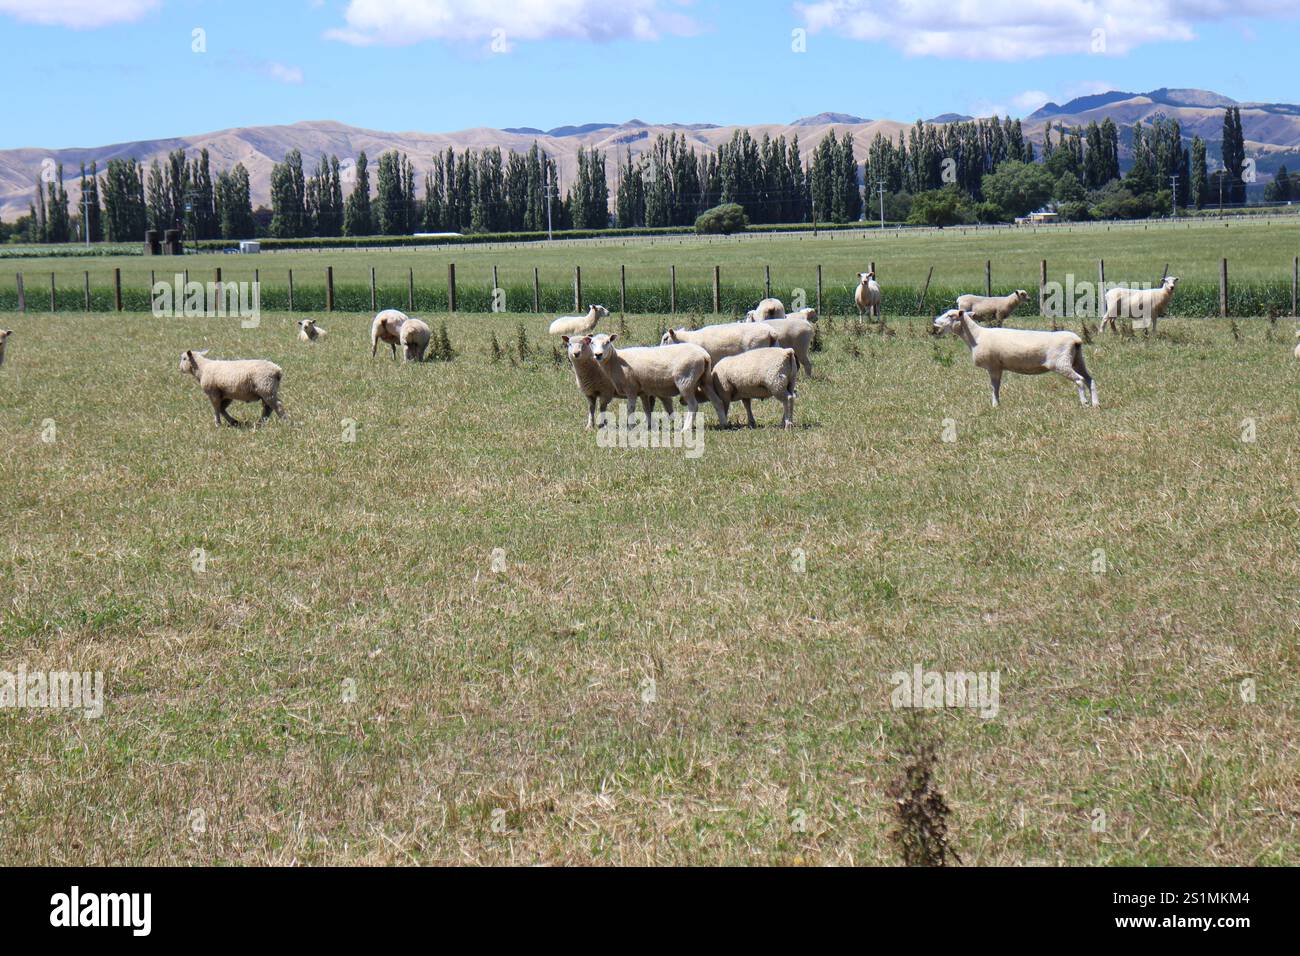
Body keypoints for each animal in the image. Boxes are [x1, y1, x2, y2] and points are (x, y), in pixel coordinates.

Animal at [588, 333, 727, 431]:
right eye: (592, 343)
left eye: (607, 342)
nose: (598, 355)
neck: (616, 361)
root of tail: (704, 355)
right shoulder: (642, 391)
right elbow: (647, 409)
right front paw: (648, 426)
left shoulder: (631, 388)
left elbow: (630, 408)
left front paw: (630, 427)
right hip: (705, 380)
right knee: (717, 401)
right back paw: (723, 424)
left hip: (685, 381)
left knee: (693, 405)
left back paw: (686, 428)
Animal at [932, 309, 1098, 408]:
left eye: (950, 315)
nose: (934, 322)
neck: (976, 336)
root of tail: (1076, 340)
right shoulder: (998, 367)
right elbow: (997, 386)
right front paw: (997, 404)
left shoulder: (993, 366)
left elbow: (994, 386)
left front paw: (994, 405)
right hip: (1077, 360)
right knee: (1090, 380)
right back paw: (1096, 404)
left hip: (1061, 363)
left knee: (1079, 380)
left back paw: (1085, 403)